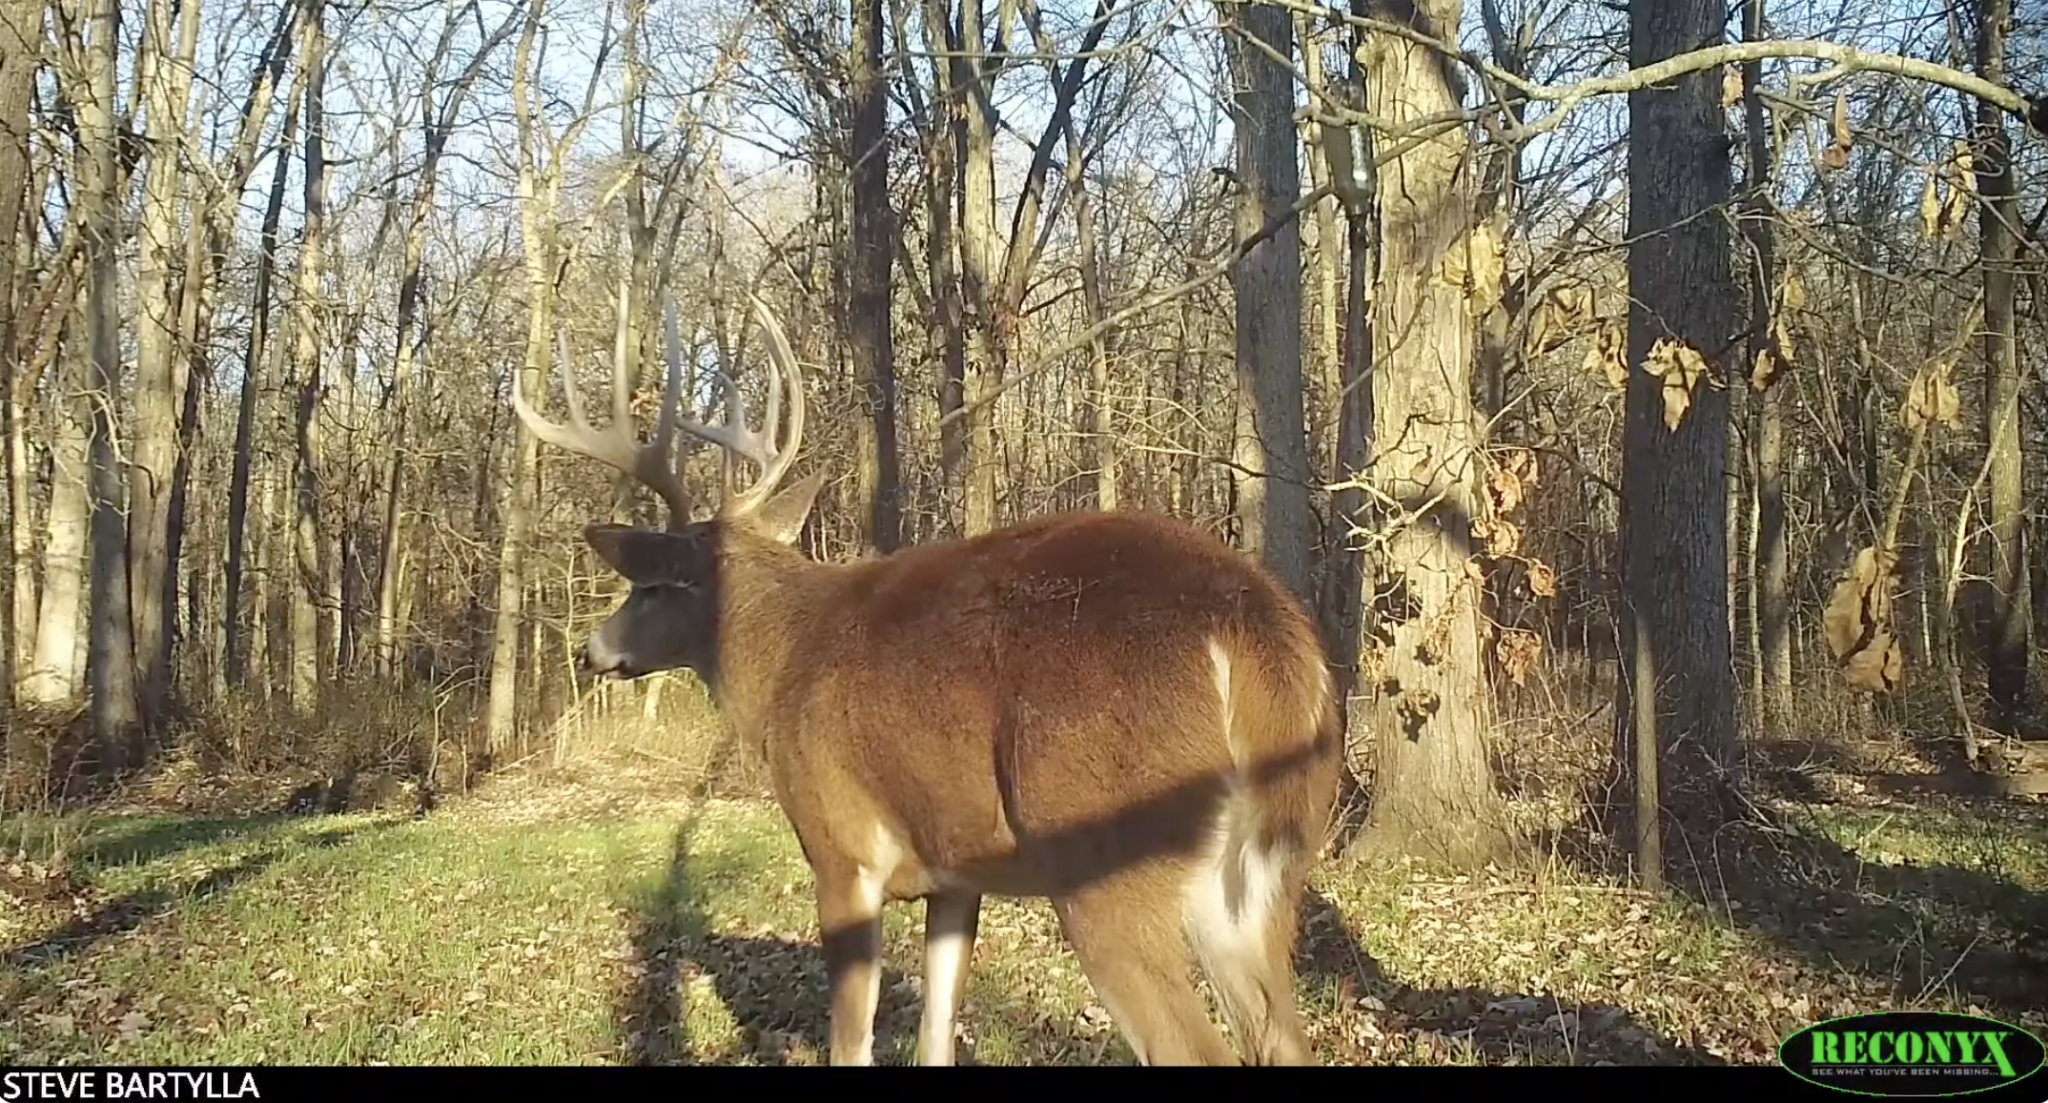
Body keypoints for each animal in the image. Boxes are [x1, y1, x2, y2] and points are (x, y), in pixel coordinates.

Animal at [509, 286, 1345, 1066]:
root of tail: (1259, 635)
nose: (591, 649)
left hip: (1110, 862)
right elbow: (936, 1034)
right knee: (1283, 1036)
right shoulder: (955, 869)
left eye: (650, 586)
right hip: (1265, 877)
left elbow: (852, 1042)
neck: (779, 663)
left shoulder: (842, 850)